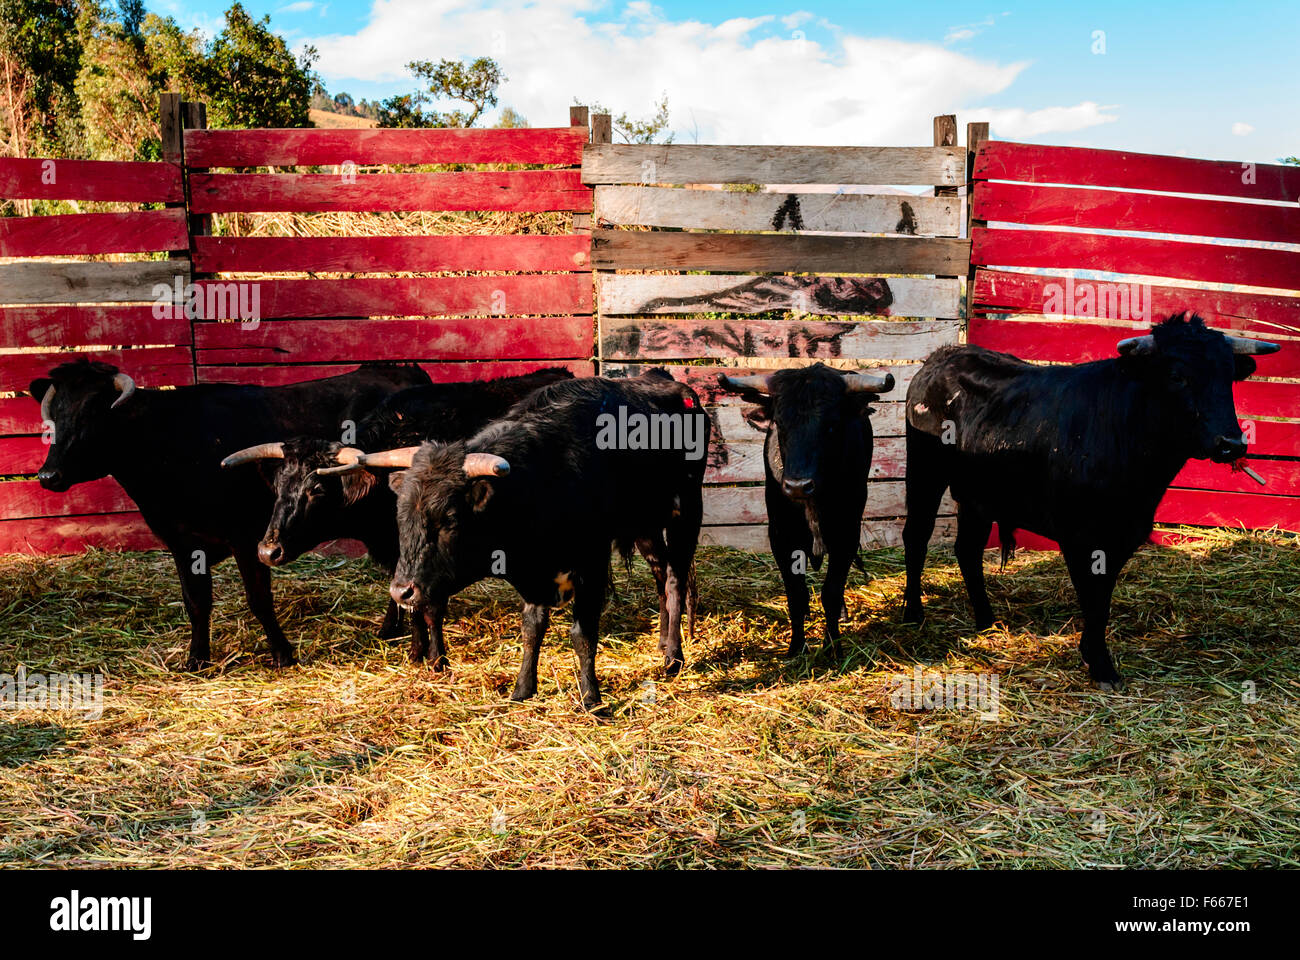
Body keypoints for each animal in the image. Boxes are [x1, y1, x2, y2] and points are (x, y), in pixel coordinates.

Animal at [28, 360, 429, 669]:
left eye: (92, 416)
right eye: (53, 416)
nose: (48, 476)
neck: (170, 445)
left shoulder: (246, 537)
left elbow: (258, 600)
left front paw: (283, 655)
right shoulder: (182, 542)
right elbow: (196, 602)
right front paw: (197, 659)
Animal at [219, 368, 574, 667]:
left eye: (316, 490)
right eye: (278, 487)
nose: (268, 551)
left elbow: (429, 608)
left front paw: (435, 657)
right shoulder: (399, 556)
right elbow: (406, 602)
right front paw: (413, 649)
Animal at [353, 370, 707, 709]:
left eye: (450, 519)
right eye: (401, 516)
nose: (402, 592)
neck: (545, 477)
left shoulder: (593, 562)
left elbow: (583, 634)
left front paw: (591, 699)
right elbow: (532, 629)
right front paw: (523, 689)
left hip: (687, 511)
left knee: (675, 579)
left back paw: (673, 656)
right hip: (645, 525)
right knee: (661, 573)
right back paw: (662, 641)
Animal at [716, 363, 895, 658]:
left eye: (832, 425)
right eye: (779, 423)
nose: (798, 486)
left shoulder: (847, 534)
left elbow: (831, 592)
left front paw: (833, 646)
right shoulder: (781, 537)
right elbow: (796, 596)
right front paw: (796, 647)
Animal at [900, 312, 1278, 690]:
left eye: (1228, 376)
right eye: (1176, 376)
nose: (1231, 443)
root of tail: (941, 357)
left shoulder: (1124, 535)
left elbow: (1103, 599)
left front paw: (1094, 657)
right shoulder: (1079, 538)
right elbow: (1092, 599)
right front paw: (1100, 664)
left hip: (977, 497)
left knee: (968, 549)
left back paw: (986, 619)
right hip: (925, 473)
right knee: (916, 536)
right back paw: (913, 612)